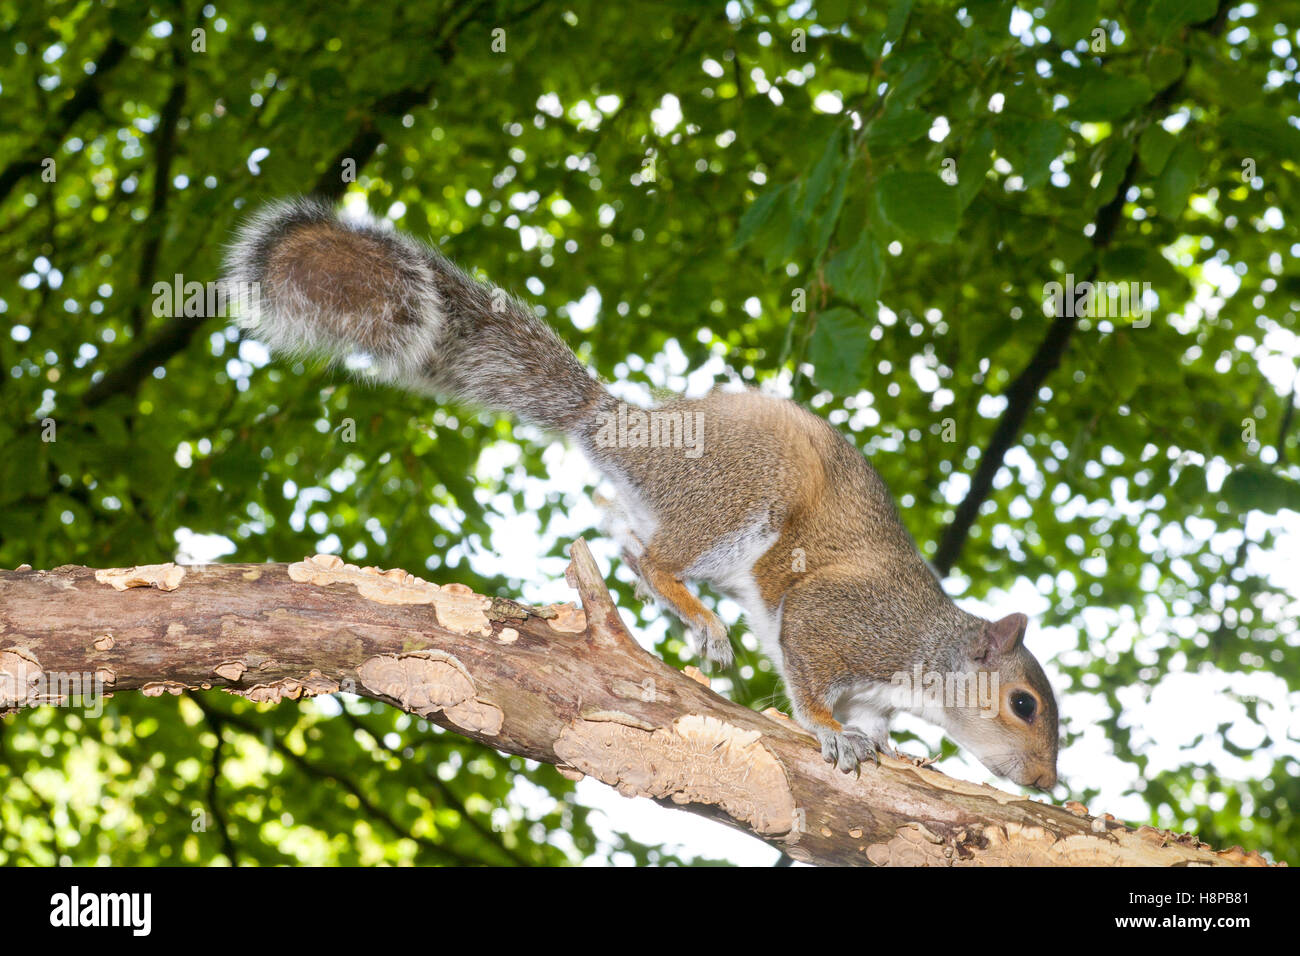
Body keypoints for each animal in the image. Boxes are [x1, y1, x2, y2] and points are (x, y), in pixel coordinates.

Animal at [223, 198, 1060, 790]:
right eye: (1023, 705)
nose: (1048, 783)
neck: (930, 649)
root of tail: (627, 426)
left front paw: (895, 748)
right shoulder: (847, 621)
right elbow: (809, 674)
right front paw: (830, 730)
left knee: (627, 547)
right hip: (737, 498)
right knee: (656, 560)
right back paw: (704, 622)